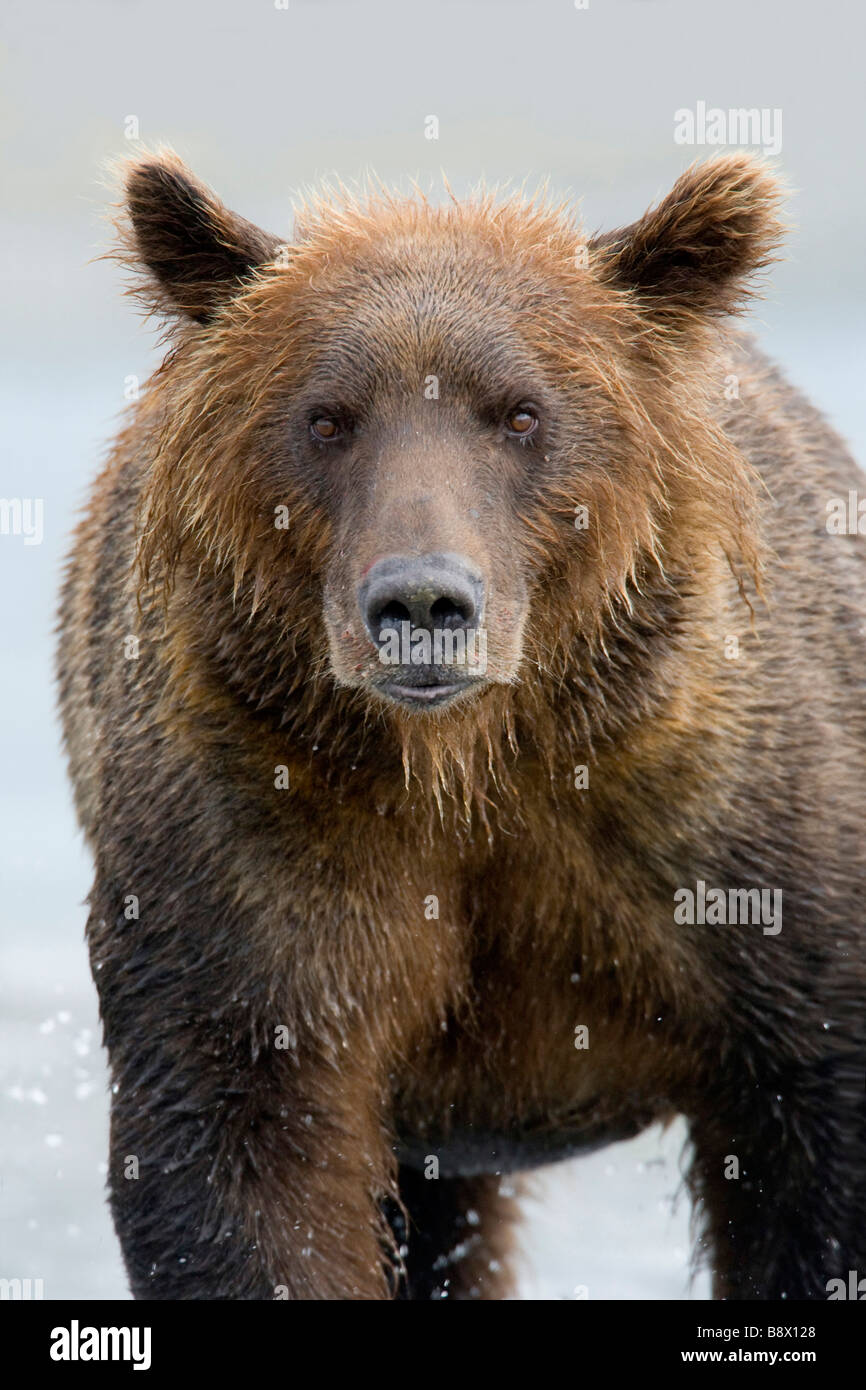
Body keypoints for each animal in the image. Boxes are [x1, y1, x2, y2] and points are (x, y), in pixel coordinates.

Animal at [57, 149, 866, 1301]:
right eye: (327, 416)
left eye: (520, 413)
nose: (421, 602)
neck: (472, 763)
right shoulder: (255, 832)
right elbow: (241, 1142)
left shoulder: (729, 829)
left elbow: (813, 1147)